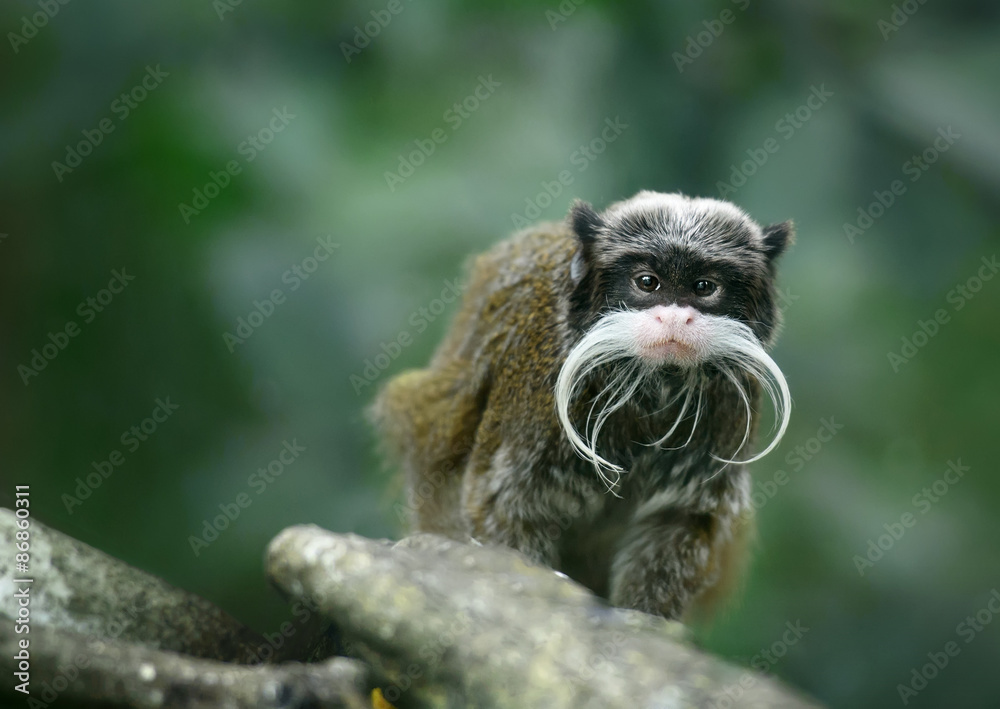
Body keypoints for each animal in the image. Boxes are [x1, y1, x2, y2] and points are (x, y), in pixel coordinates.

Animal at [370, 190, 793, 621]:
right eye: (647, 282)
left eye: (705, 286)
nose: (675, 318)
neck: (651, 384)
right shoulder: (538, 386)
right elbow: (507, 506)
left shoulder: (727, 407)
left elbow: (679, 523)